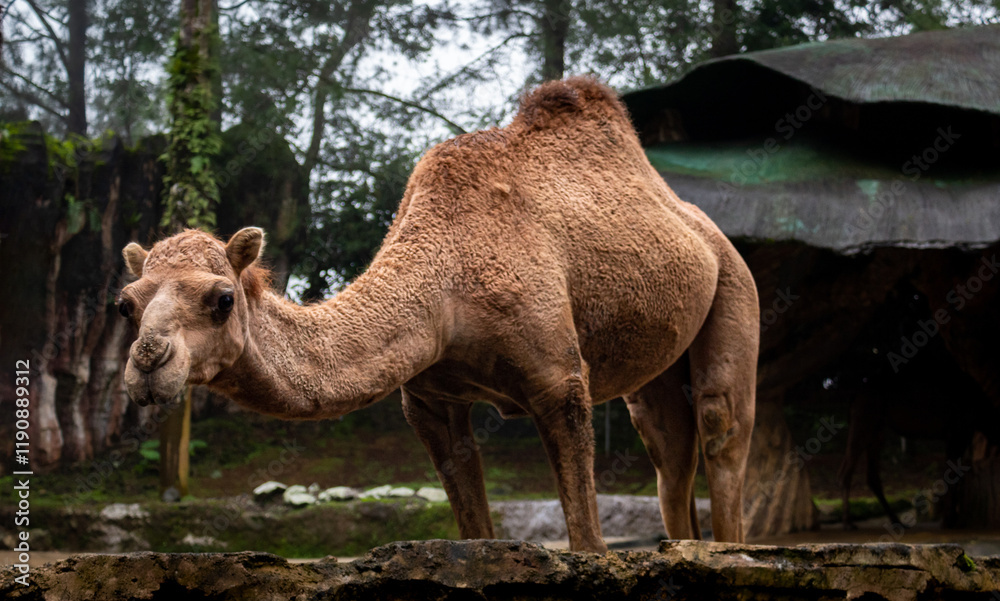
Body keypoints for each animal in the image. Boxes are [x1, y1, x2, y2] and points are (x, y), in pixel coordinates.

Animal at [118, 77, 759, 552]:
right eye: (125, 305)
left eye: (222, 299)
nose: (148, 363)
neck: (446, 284)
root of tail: (702, 225)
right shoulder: (429, 399)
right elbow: (474, 528)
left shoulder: (560, 380)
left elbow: (587, 542)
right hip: (655, 365)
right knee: (668, 448)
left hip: (736, 283)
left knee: (721, 424)